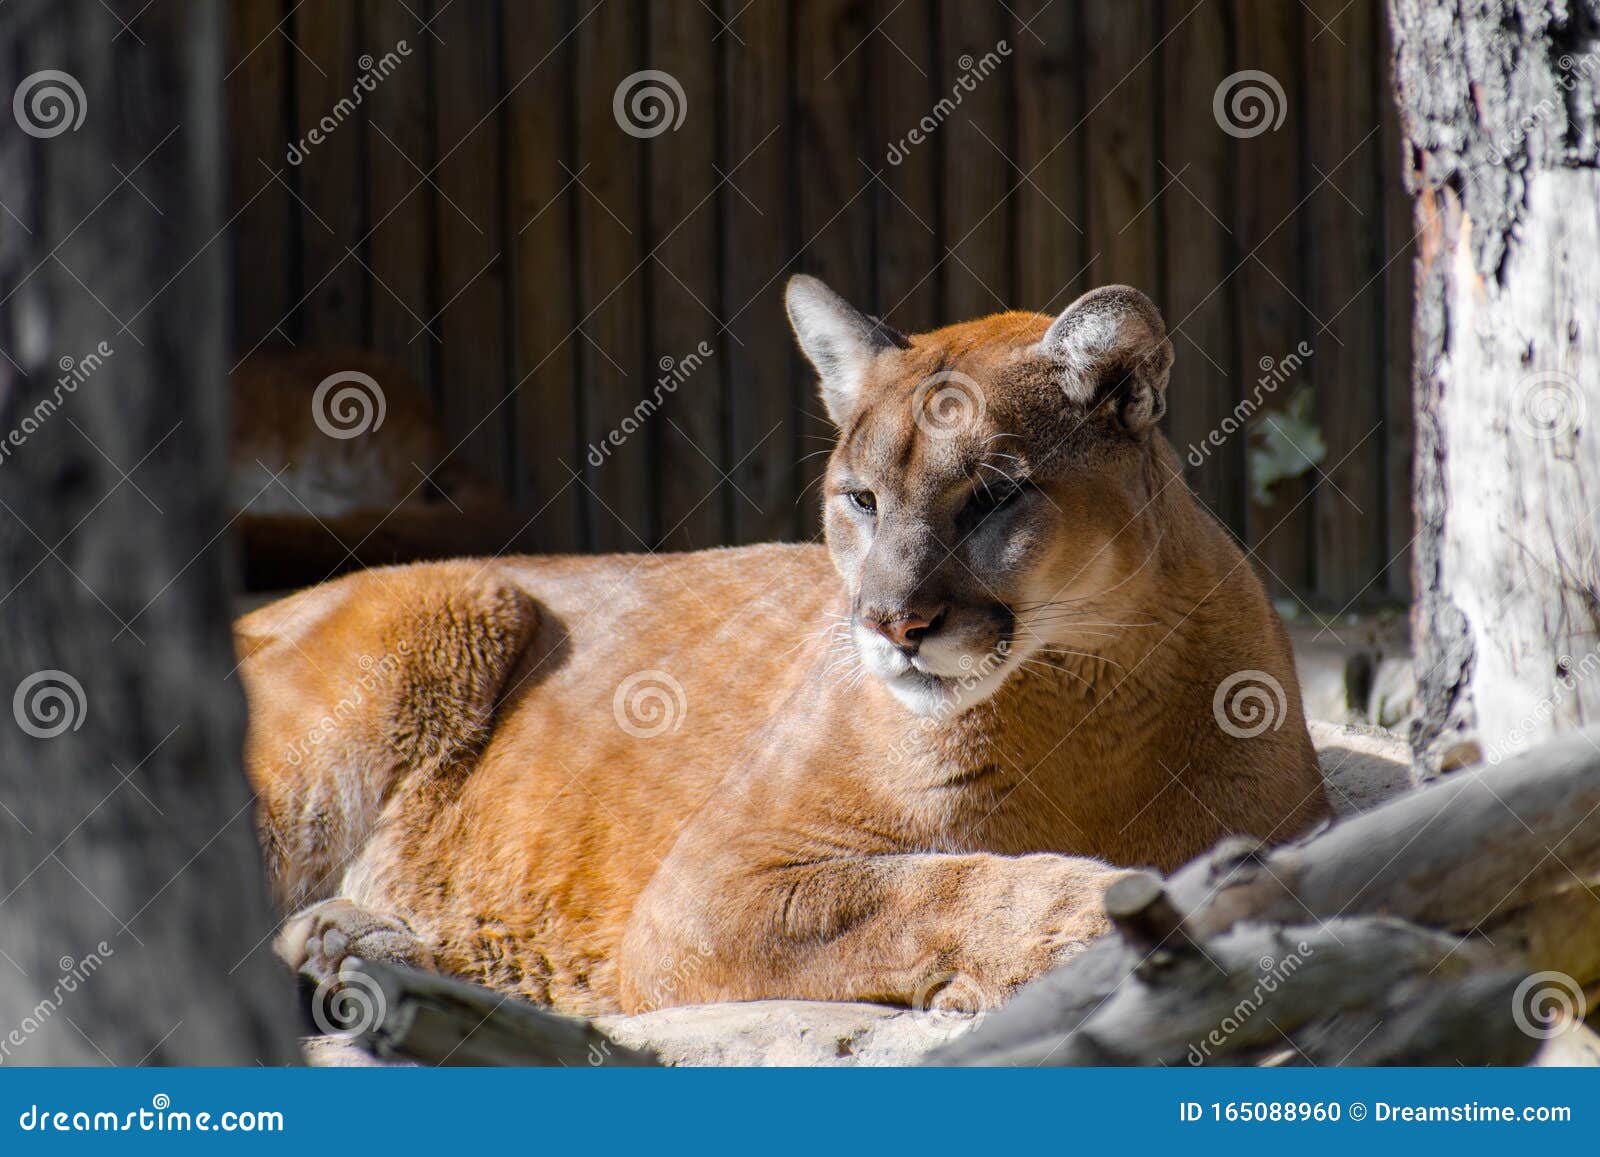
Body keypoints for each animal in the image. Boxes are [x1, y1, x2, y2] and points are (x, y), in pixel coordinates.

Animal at [238, 277, 1330, 1016]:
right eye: (861, 499)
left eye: (990, 496)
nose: (891, 622)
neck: (1083, 690)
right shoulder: (706, 893)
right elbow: (923, 886)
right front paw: (1086, 913)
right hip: (456, 603)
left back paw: (360, 945)